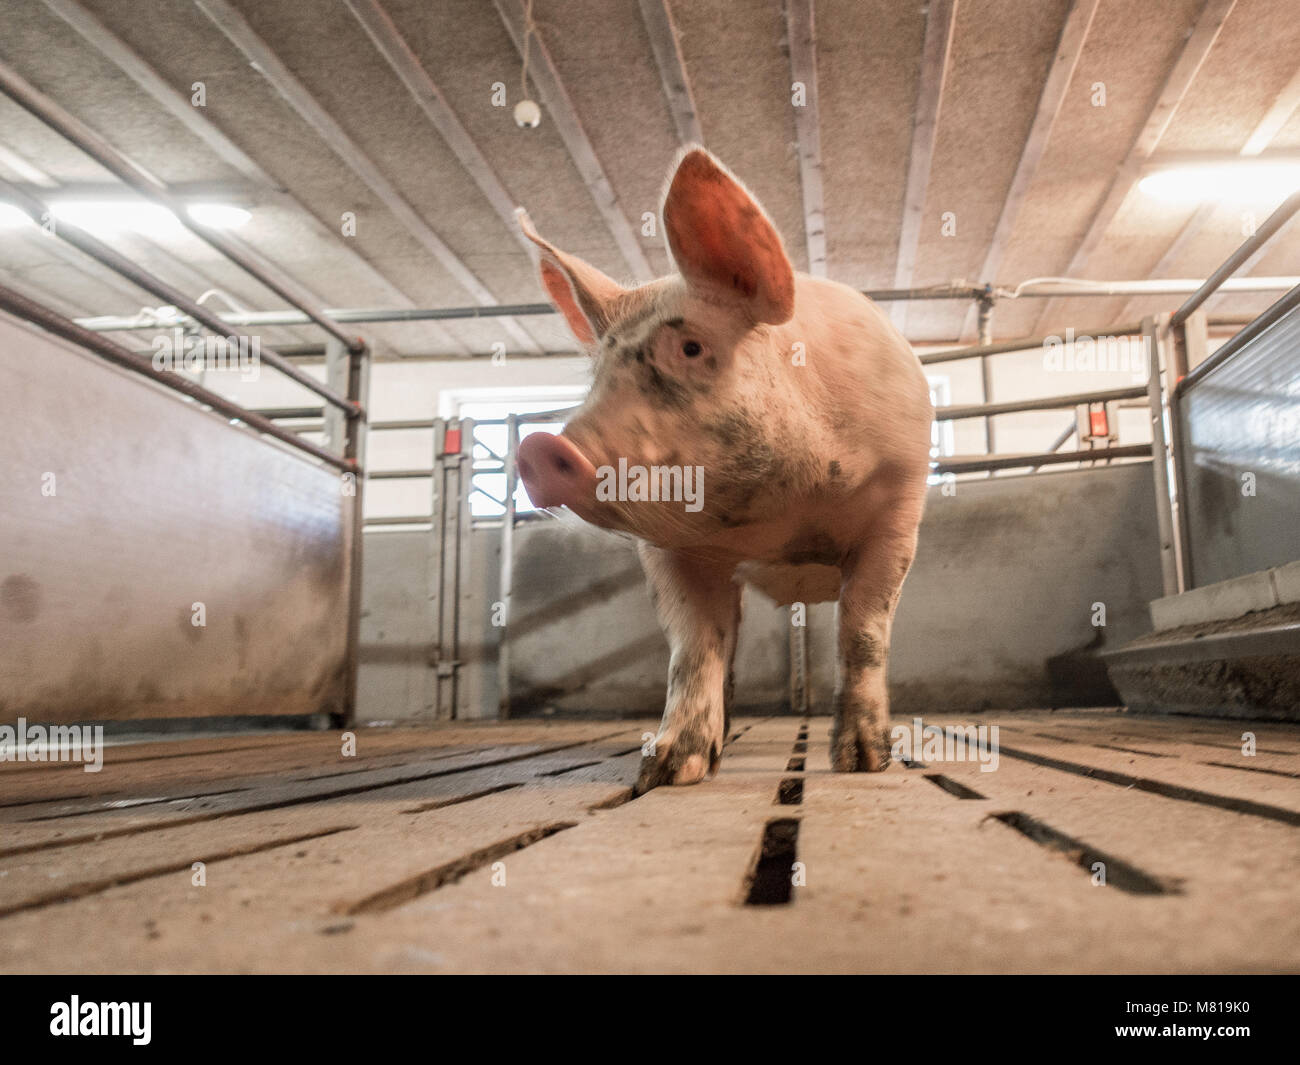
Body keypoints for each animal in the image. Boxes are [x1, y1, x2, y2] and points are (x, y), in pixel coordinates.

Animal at [514, 147, 933, 793]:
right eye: (599, 375)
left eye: (691, 348)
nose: (538, 446)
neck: (787, 512)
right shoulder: (668, 551)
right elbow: (693, 648)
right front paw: (666, 772)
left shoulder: (899, 503)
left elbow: (863, 631)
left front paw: (864, 763)